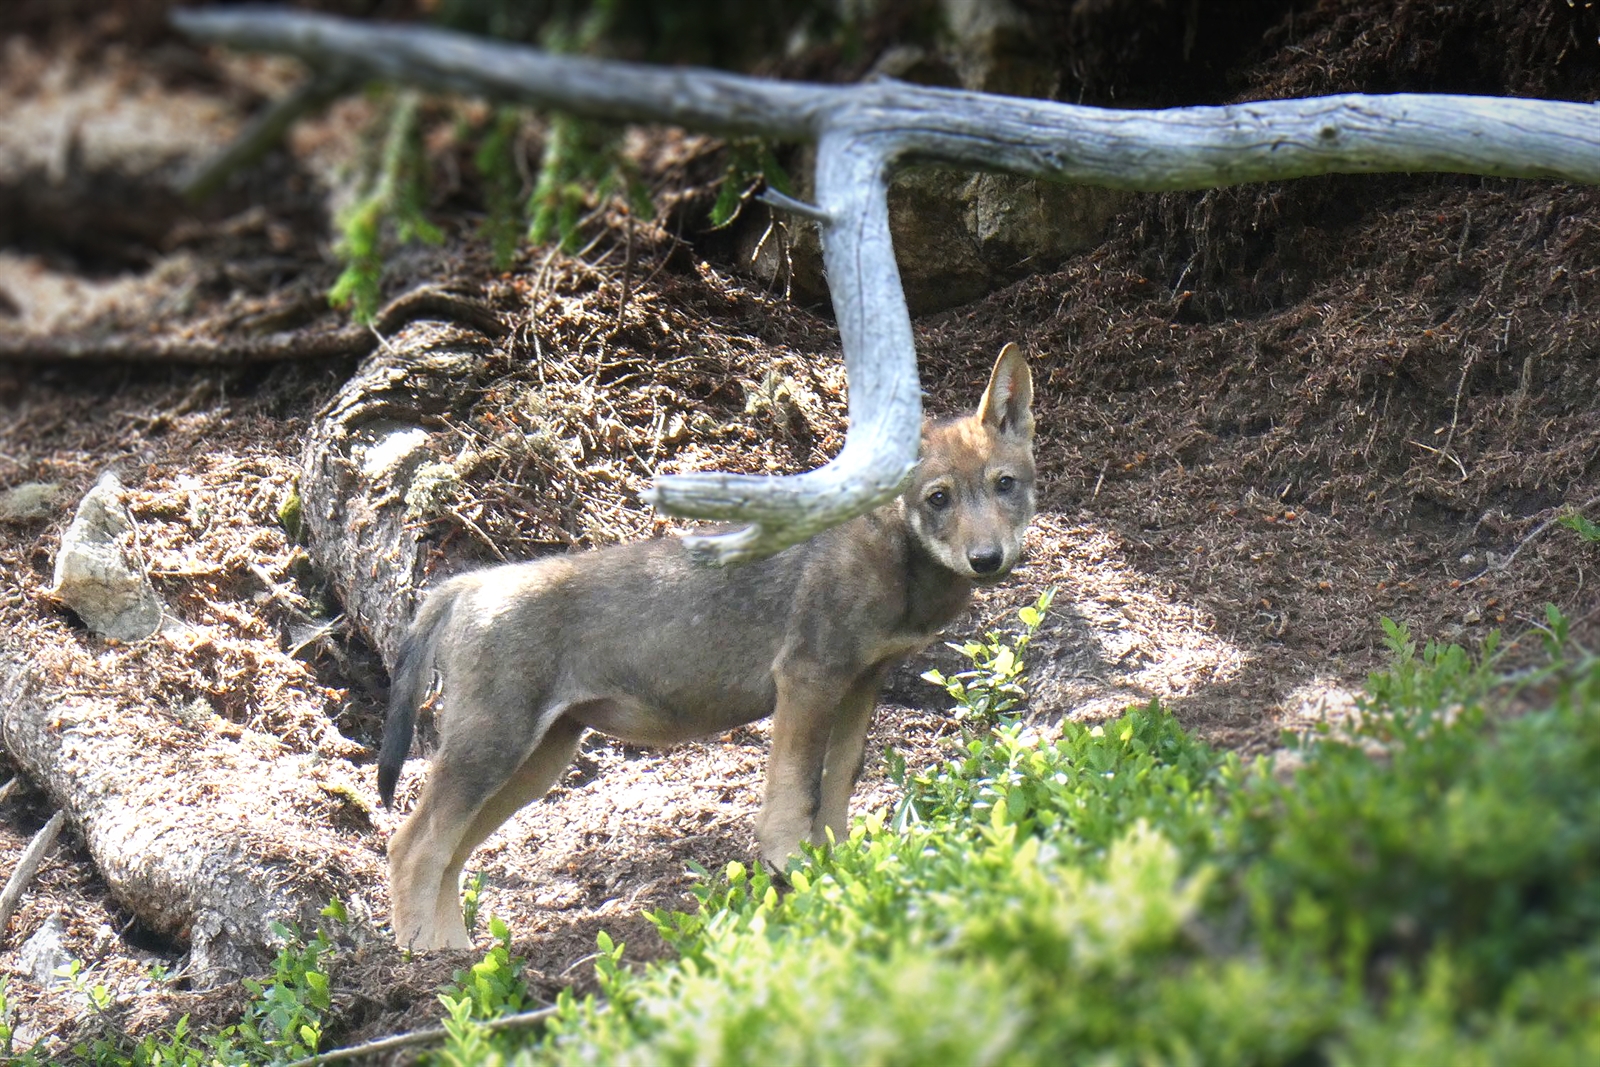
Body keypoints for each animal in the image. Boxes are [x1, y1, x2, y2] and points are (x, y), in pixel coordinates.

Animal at [377, 343, 1036, 950]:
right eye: (939, 498)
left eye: (1004, 486)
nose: (987, 559)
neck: (897, 561)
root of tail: (467, 584)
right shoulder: (807, 680)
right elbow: (793, 797)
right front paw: (799, 878)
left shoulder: (859, 685)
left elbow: (836, 793)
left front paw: (845, 874)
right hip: (494, 751)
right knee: (411, 847)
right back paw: (425, 971)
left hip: (537, 762)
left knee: (447, 857)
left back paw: (455, 963)